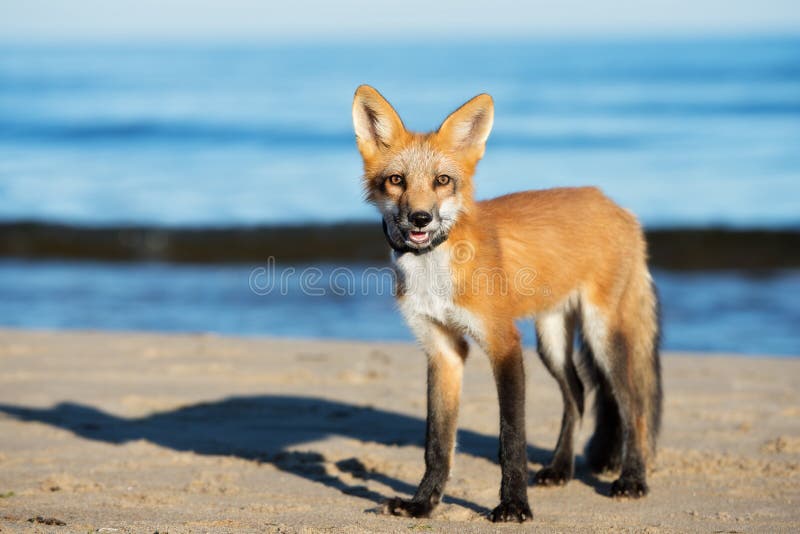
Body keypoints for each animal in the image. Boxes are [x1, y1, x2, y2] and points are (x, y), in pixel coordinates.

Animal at [351, 85, 662, 522]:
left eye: (442, 180)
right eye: (396, 180)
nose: (420, 218)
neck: (435, 271)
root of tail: (614, 204)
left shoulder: (504, 343)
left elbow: (511, 437)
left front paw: (514, 505)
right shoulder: (442, 349)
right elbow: (437, 443)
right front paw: (422, 504)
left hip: (603, 334)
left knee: (632, 403)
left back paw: (633, 478)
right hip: (551, 339)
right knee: (578, 394)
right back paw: (560, 469)